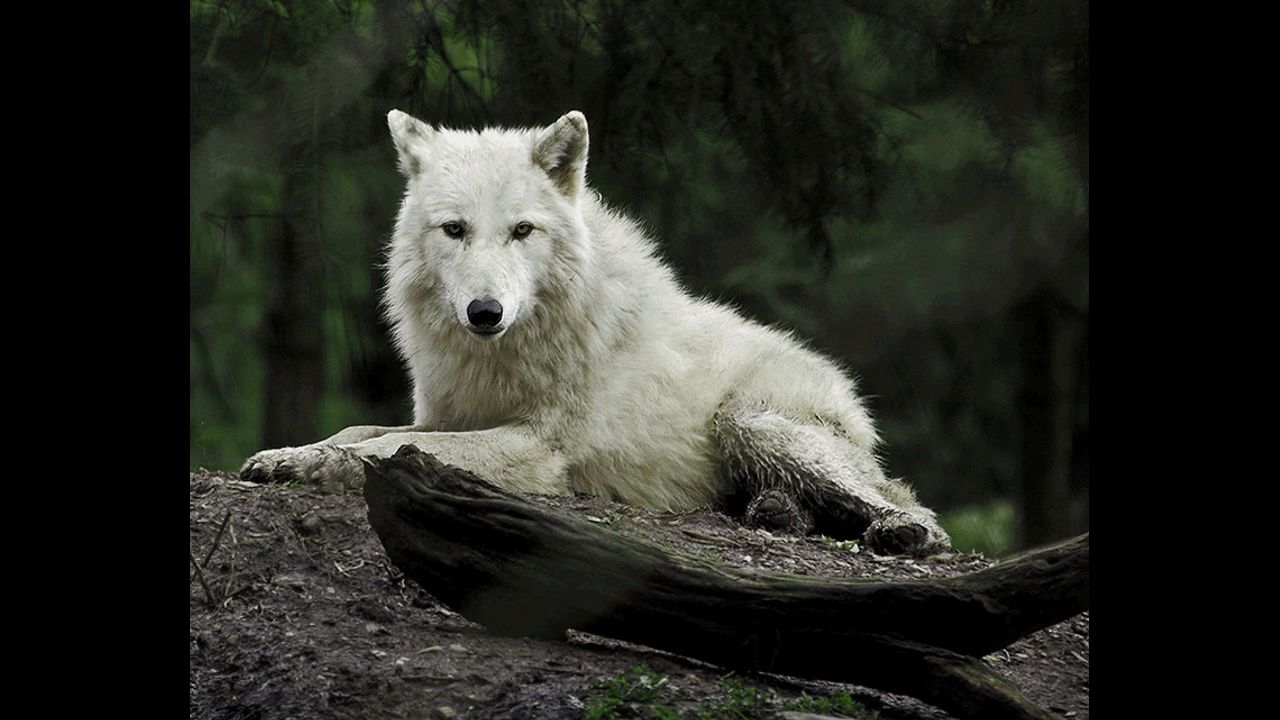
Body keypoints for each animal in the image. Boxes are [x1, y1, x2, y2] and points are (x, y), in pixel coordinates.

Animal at [240, 109, 951, 555]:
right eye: (455, 229)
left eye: (522, 231)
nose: (484, 312)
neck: (507, 356)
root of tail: (843, 385)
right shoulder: (445, 416)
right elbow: (360, 430)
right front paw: (286, 454)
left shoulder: (538, 445)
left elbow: (384, 448)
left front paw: (308, 465)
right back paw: (775, 513)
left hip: (748, 422)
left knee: (910, 503)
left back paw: (903, 534)